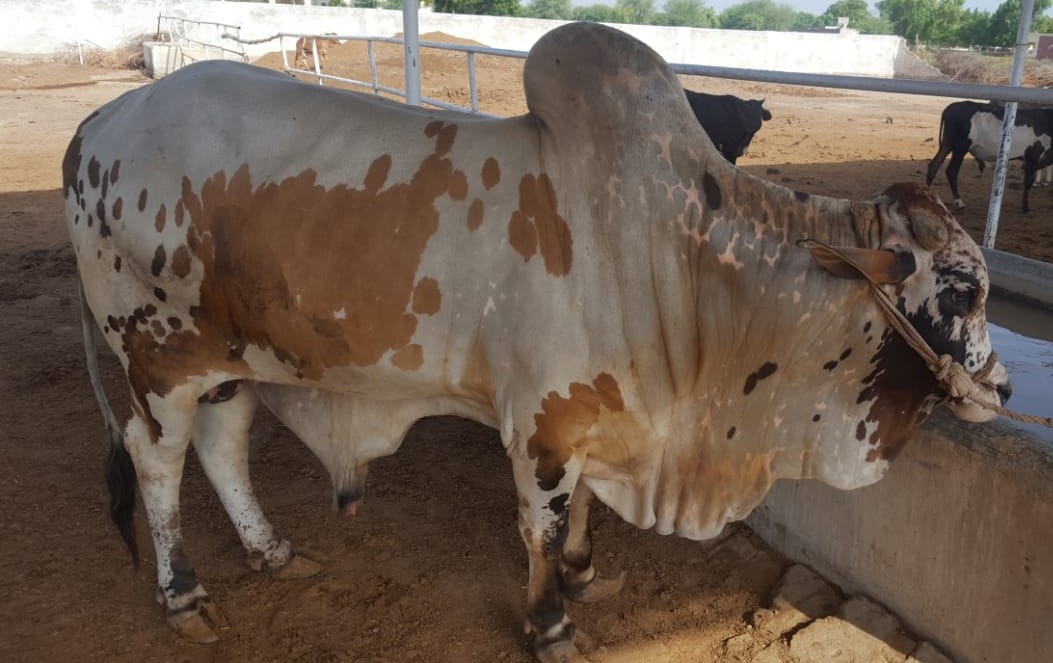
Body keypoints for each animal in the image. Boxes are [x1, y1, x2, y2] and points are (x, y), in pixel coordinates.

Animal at [65, 22, 1010, 663]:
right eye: (961, 287)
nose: (1001, 389)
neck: (686, 265)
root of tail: (104, 119)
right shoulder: (541, 426)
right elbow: (542, 530)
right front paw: (552, 621)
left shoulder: (600, 412)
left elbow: (582, 512)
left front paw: (586, 571)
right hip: (157, 356)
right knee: (159, 460)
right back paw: (184, 592)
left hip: (231, 359)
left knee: (224, 445)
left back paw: (271, 552)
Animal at [925, 100, 1053, 212]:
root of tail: (950, 107)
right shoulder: (1033, 154)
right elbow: (1028, 182)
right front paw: (1025, 208)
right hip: (960, 148)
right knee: (951, 171)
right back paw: (958, 202)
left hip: (947, 144)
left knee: (934, 165)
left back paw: (927, 193)